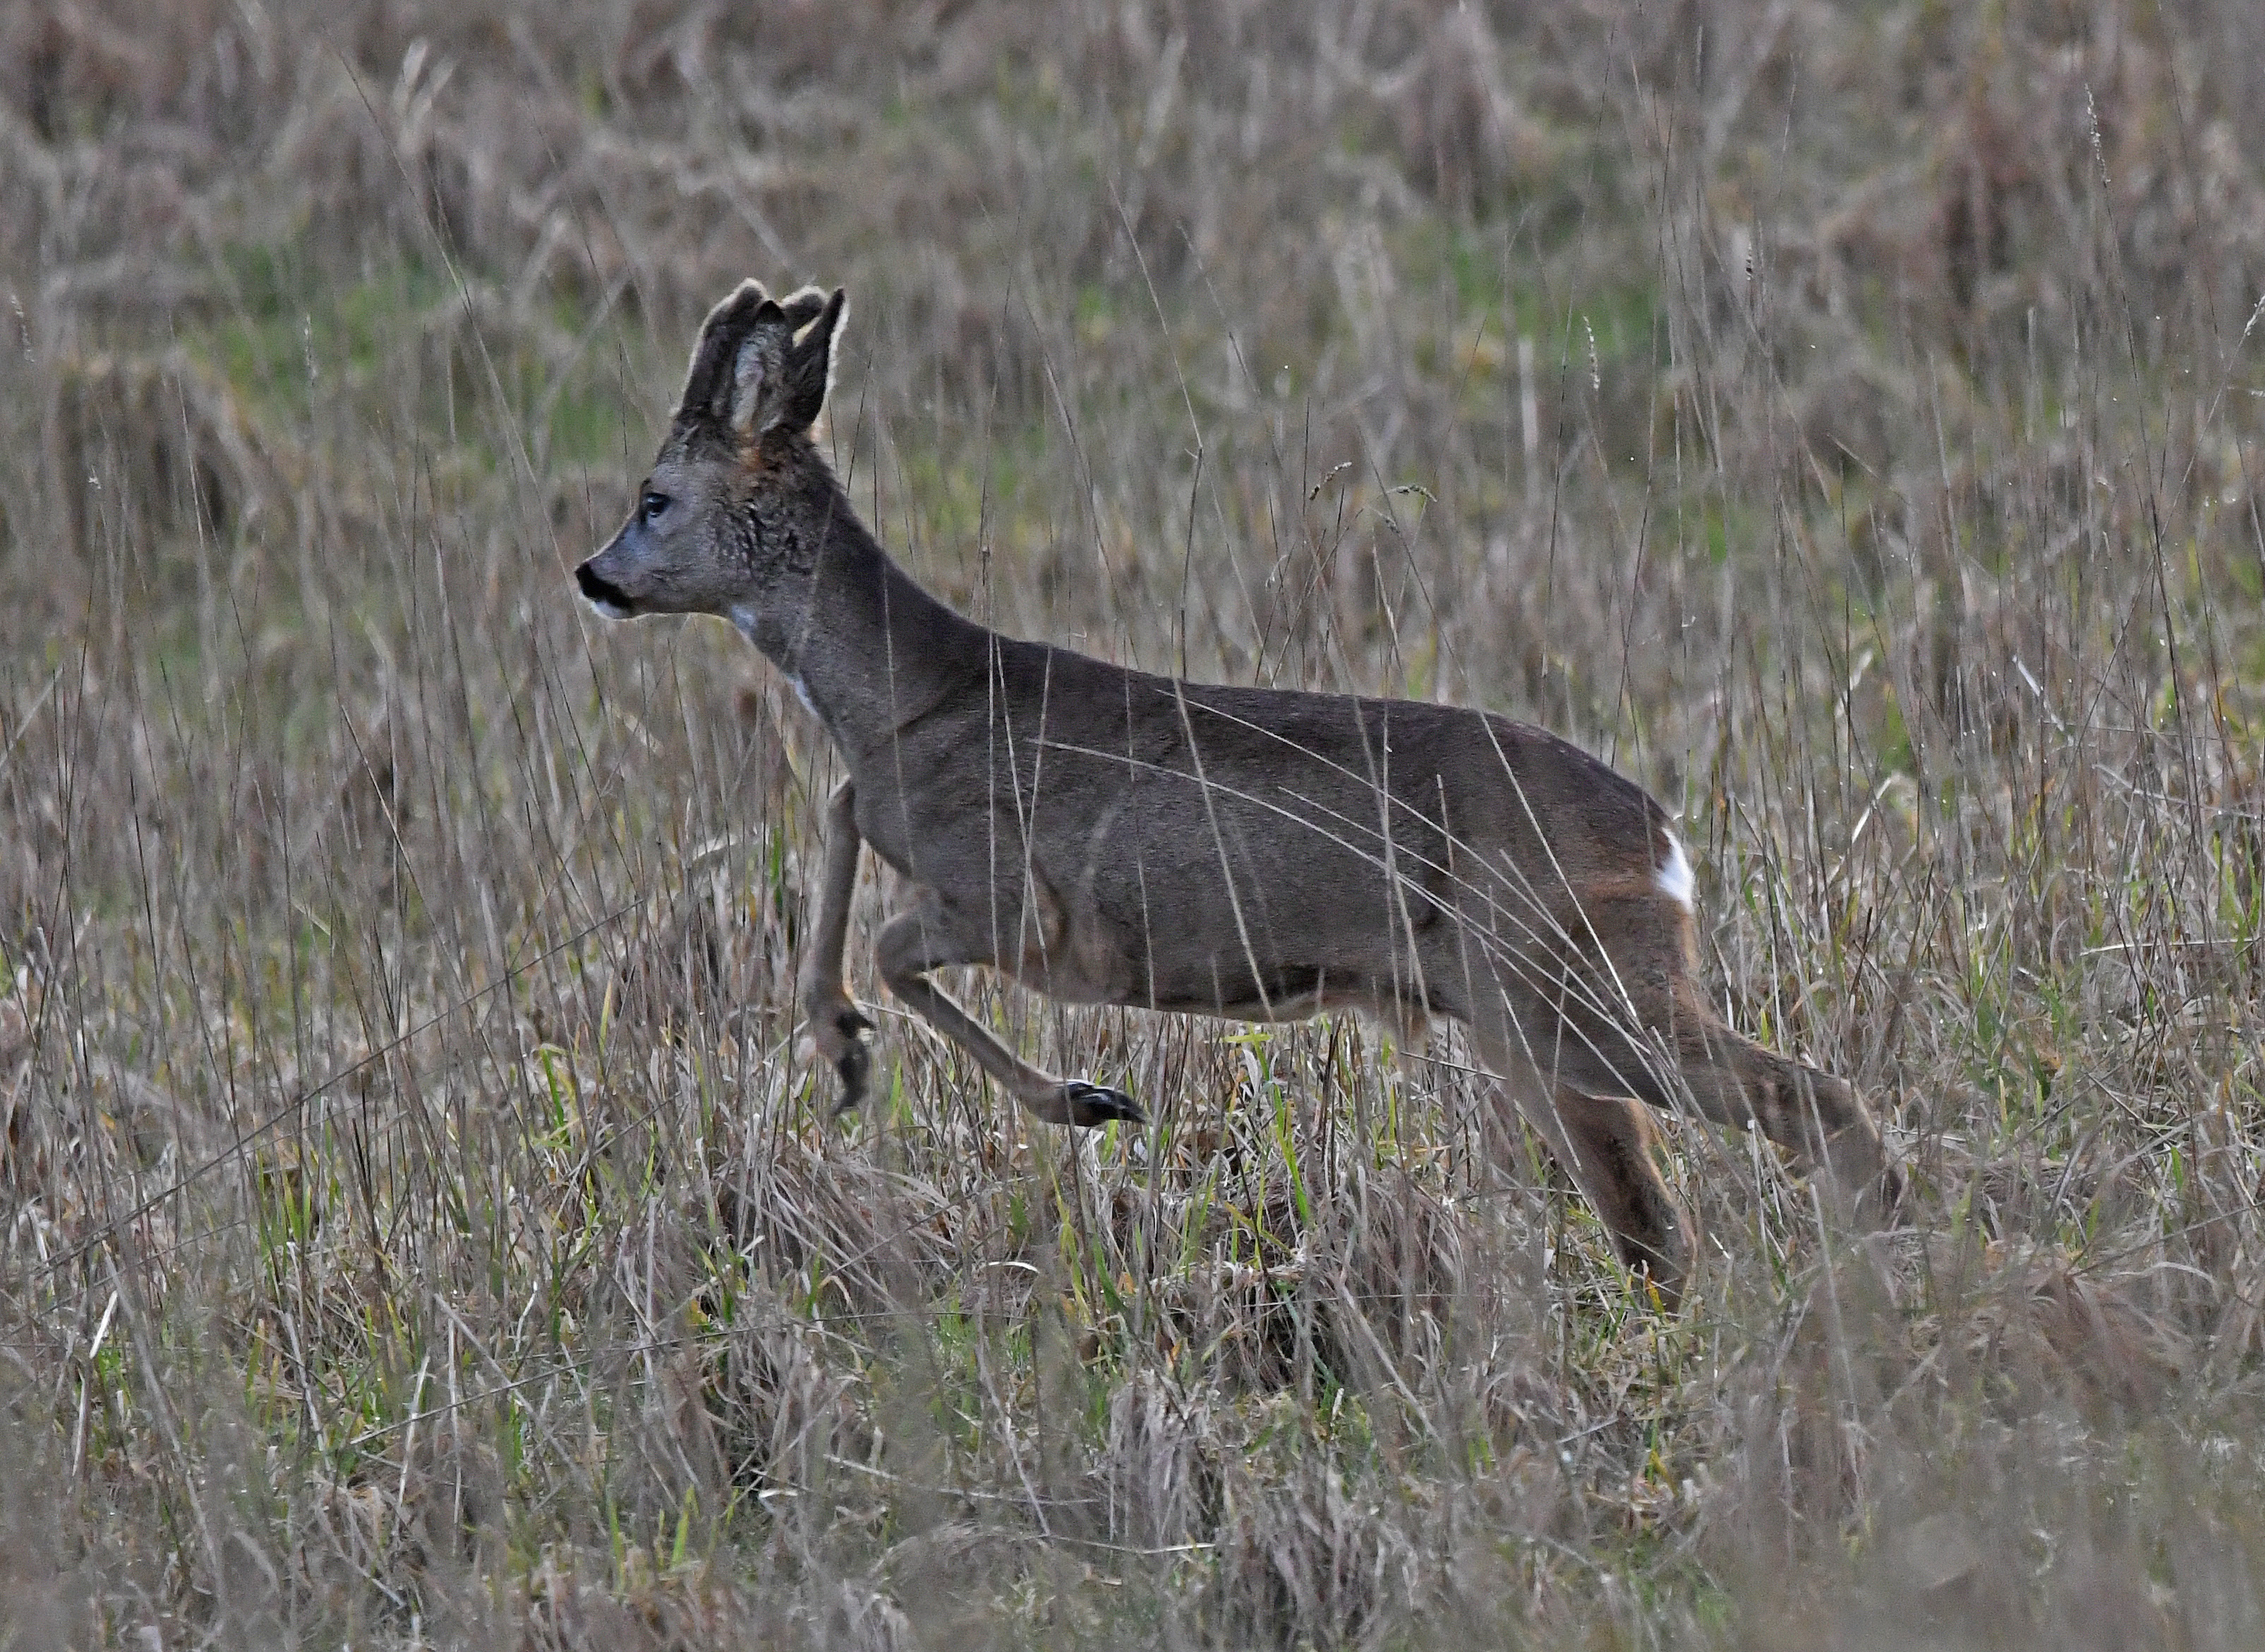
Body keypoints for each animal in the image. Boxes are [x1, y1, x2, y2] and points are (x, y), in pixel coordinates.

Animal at [573, 279, 1903, 1304]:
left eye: (653, 498)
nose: (592, 575)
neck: (908, 701)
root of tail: (1662, 835)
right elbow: (843, 821)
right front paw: (846, 1046)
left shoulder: (1014, 899)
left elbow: (898, 945)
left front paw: (1080, 1096)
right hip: (1528, 1014)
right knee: (1651, 1216)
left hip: (1574, 986)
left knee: (1802, 1100)